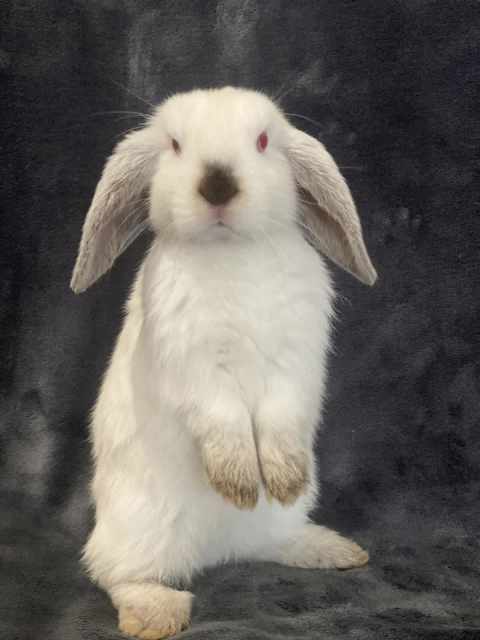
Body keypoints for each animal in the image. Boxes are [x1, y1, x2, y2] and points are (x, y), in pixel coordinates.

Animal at [70, 86, 377, 639]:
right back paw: (155, 613)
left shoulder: (295, 361)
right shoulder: (194, 367)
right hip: (142, 527)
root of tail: (220, 550)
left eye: (262, 141)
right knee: (115, 574)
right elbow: (223, 417)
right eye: (174, 145)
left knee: (270, 540)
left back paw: (330, 548)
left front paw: (276, 478)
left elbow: (281, 416)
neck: (233, 252)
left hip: (281, 516)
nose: (218, 184)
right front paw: (237, 481)